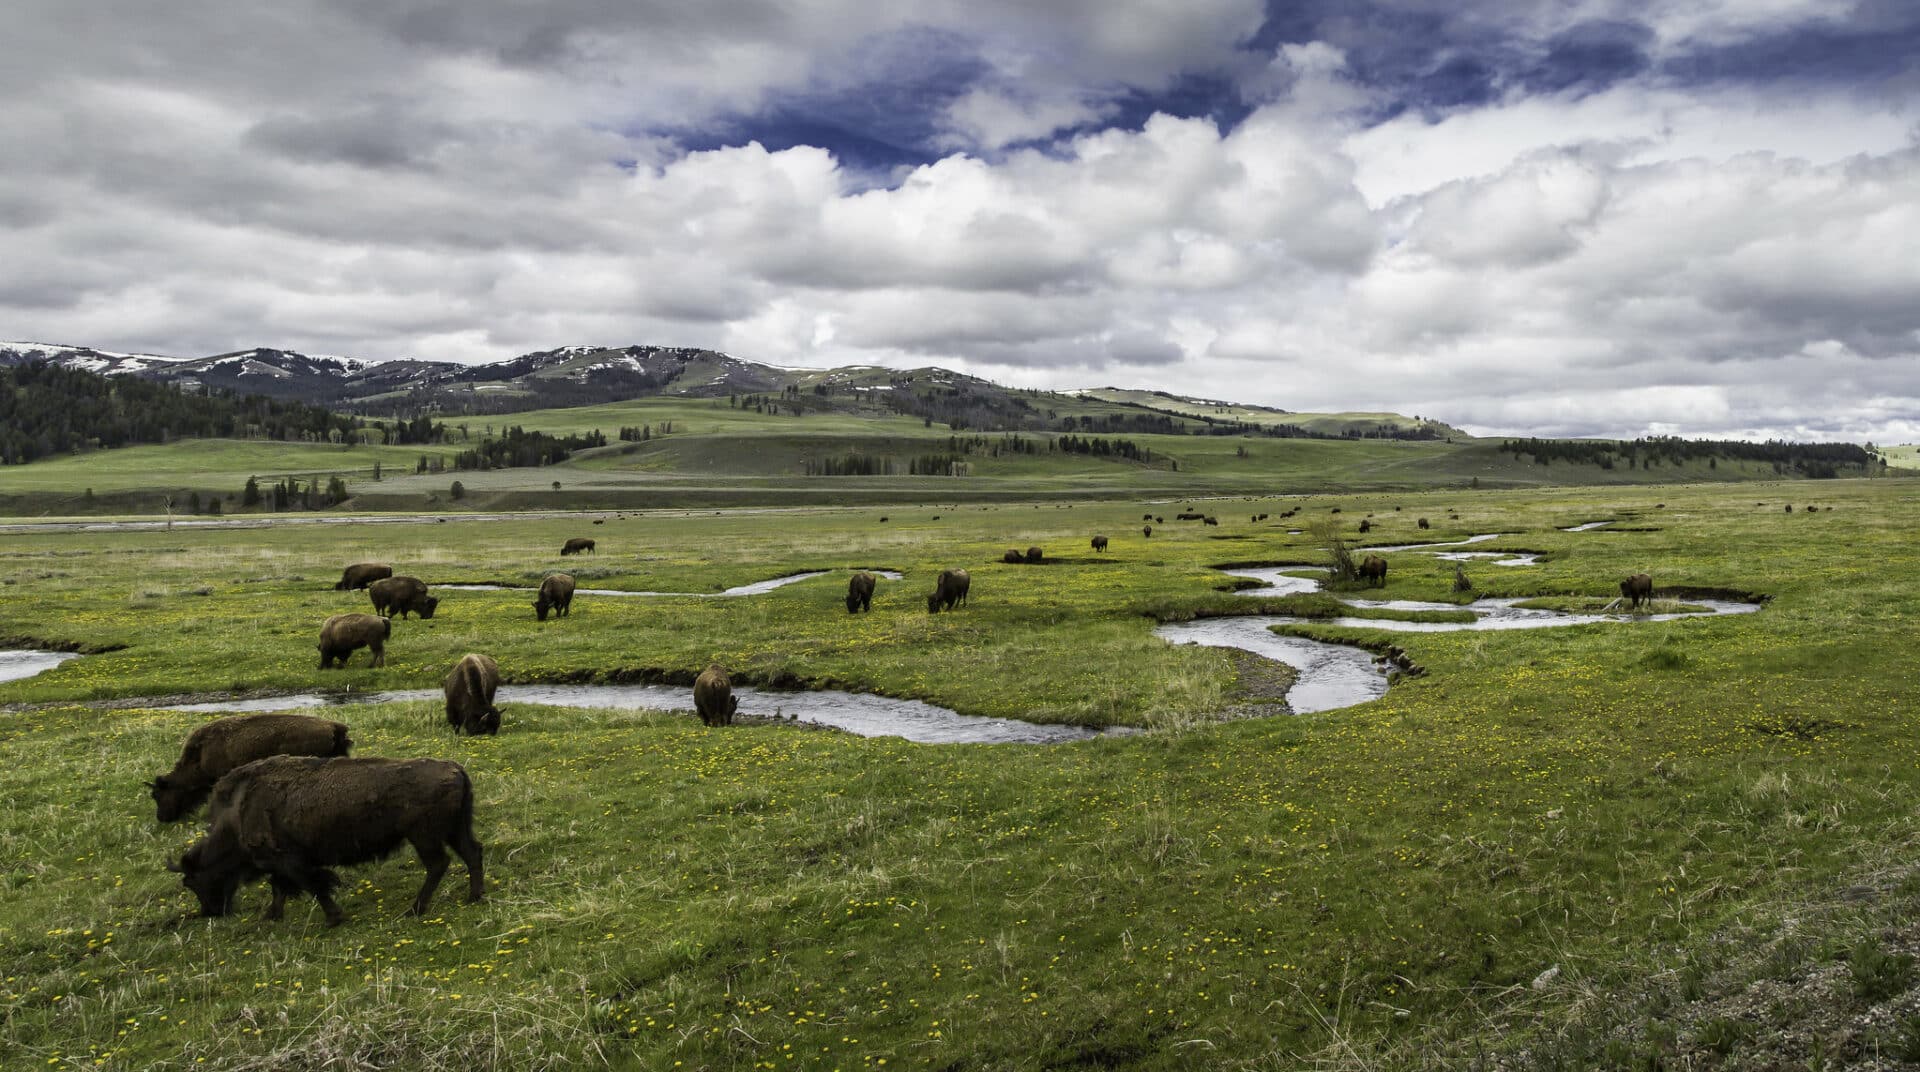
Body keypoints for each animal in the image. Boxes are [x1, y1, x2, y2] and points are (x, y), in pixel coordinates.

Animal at [168, 755, 484, 925]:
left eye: (192, 881)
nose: (211, 912)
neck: (238, 813)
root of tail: (456, 769)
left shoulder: (290, 861)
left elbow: (314, 886)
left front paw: (333, 918)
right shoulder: (282, 865)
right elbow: (280, 888)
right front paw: (271, 916)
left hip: (424, 837)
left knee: (438, 864)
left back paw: (414, 910)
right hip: (455, 831)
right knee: (472, 853)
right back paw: (473, 897)